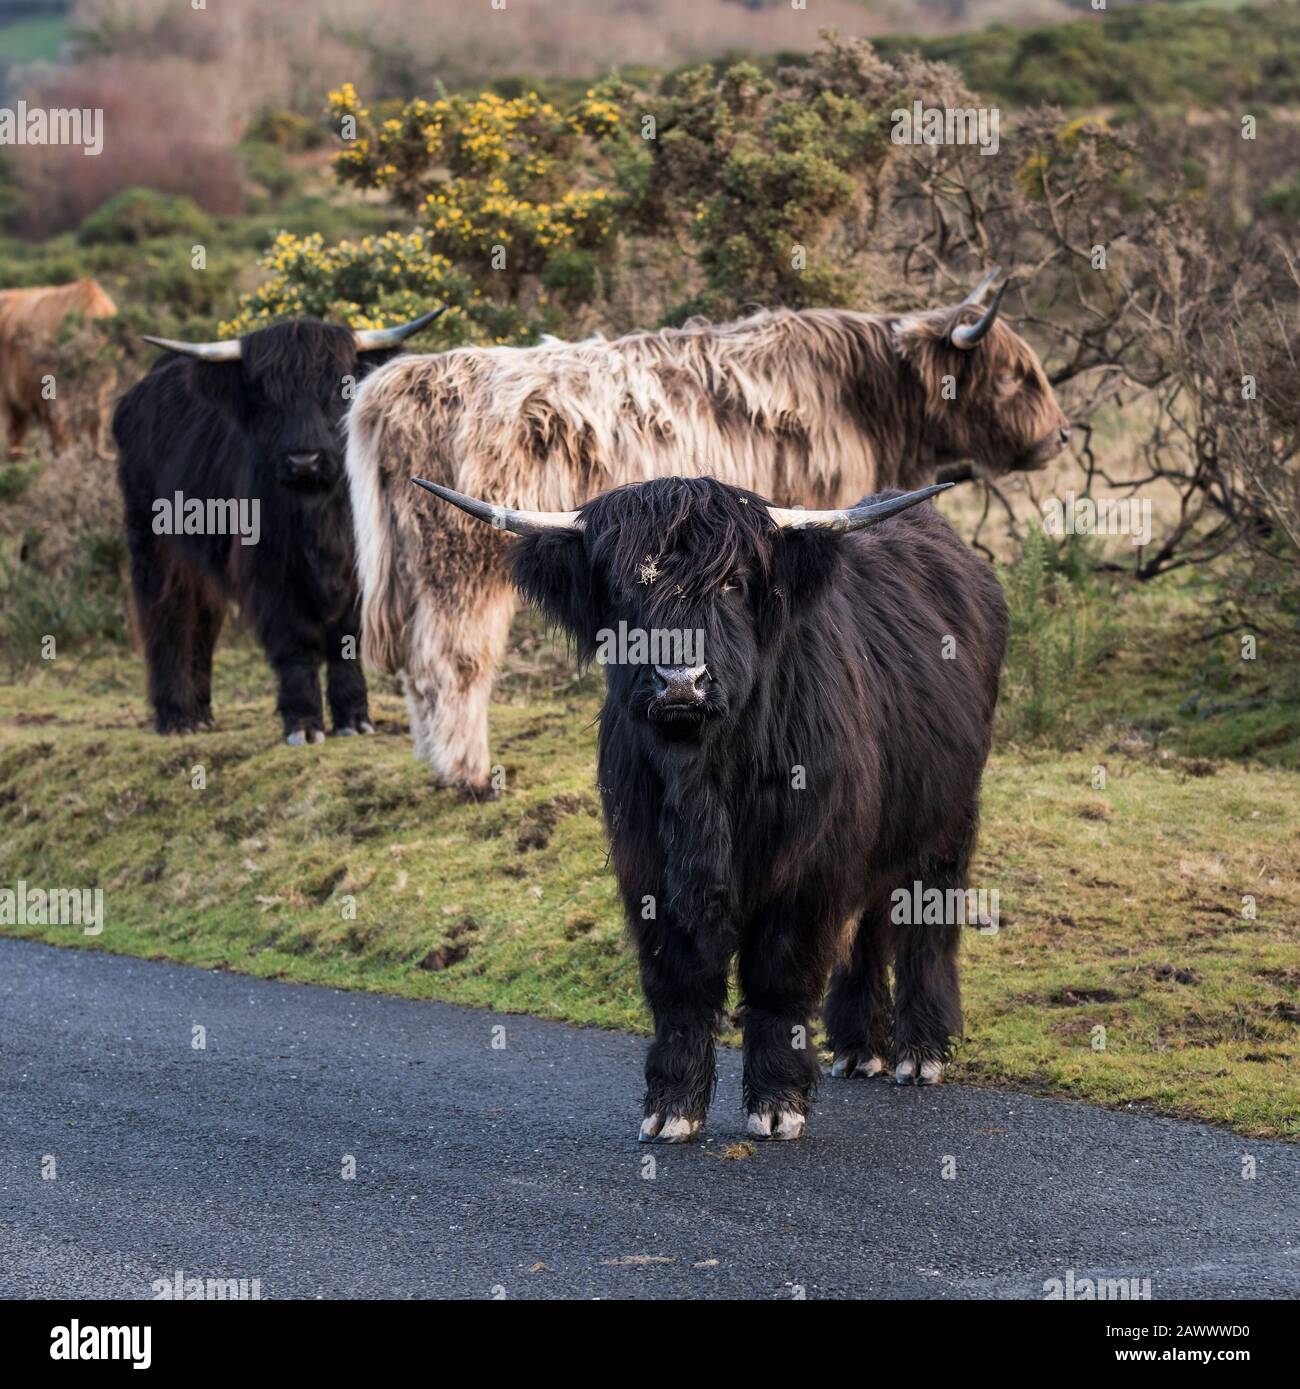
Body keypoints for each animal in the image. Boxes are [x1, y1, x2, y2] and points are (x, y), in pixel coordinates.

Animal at [112, 312, 439, 741]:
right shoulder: (271, 572)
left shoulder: (358, 568)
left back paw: (202, 713)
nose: (304, 460)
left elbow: (345, 639)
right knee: (167, 613)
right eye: (267, 396)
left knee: (203, 616)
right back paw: (177, 717)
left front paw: (354, 718)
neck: (319, 512)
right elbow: (294, 642)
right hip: (155, 542)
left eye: (338, 387)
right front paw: (303, 724)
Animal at [346, 269, 1066, 794]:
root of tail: (398, 382)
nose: (1060, 435)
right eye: (1014, 376)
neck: (859, 396)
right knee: (452, 658)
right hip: (461, 561)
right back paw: (467, 773)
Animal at [415, 472, 1008, 1142]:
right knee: (873, 924)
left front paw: (777, 1105)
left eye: (732, 581)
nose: (680, 681)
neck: (702, 775)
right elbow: (677, 983)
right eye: (628, 583)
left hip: (948, 818)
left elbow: (779, 977)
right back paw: (858, 1050)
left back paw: (920, 1053)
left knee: (926, 923)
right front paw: (672, 1108)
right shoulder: (647, 865)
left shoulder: (805, 866)